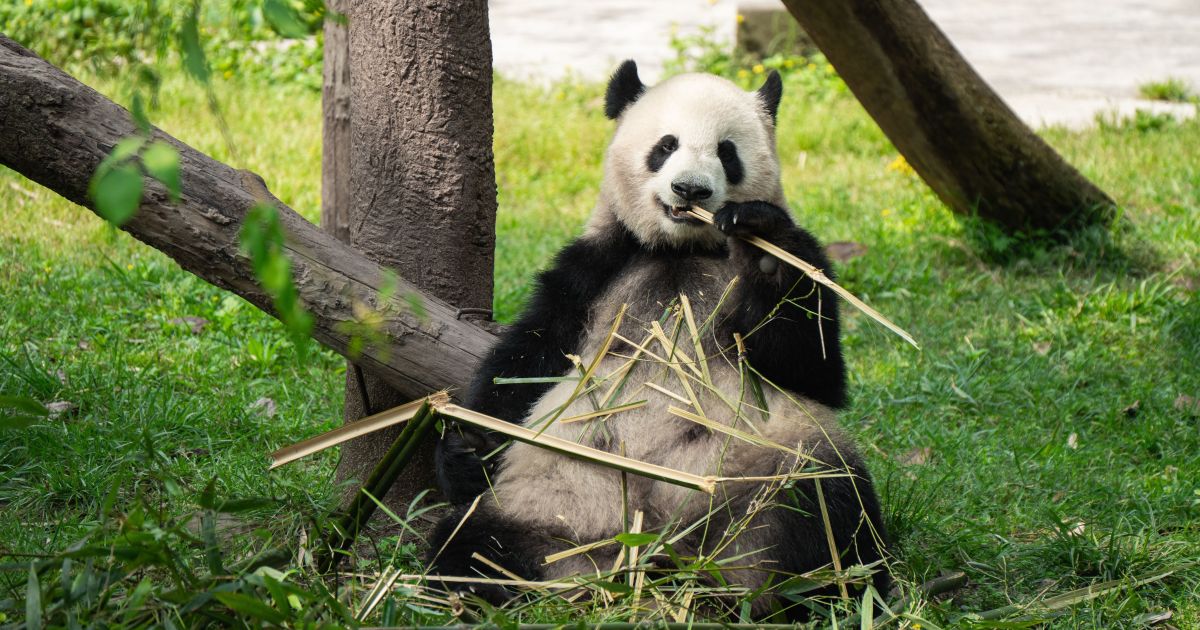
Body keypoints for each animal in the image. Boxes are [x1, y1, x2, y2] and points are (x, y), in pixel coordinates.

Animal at [429, 60, 888, 619]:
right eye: (666, 145)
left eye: (727, 152)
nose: (690, 190)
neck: (679, 249)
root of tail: (659, 557)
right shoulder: (594, 272)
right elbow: (524, 361)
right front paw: (464, 453)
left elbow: (813, 369)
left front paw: (764, 246)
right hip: (553, 505)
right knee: (472, 542)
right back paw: (489, 584)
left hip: (764, 474)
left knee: (828, 499)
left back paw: (829, 593)